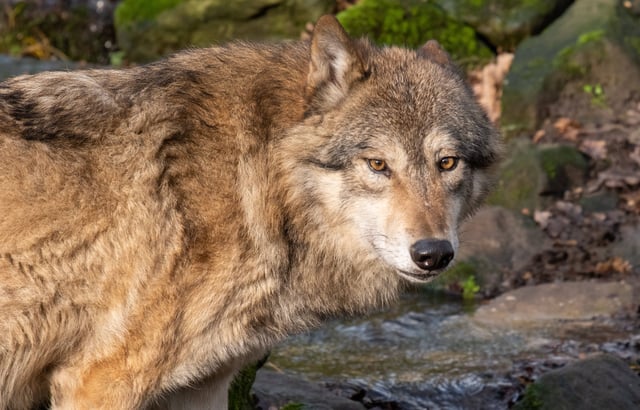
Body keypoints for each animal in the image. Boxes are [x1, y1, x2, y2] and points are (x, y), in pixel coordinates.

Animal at [0, 15, 500, 409]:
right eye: (377, 164)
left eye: (447, 163)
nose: (433, 253)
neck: (256, 186)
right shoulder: (100, 381)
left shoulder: (200, 388)